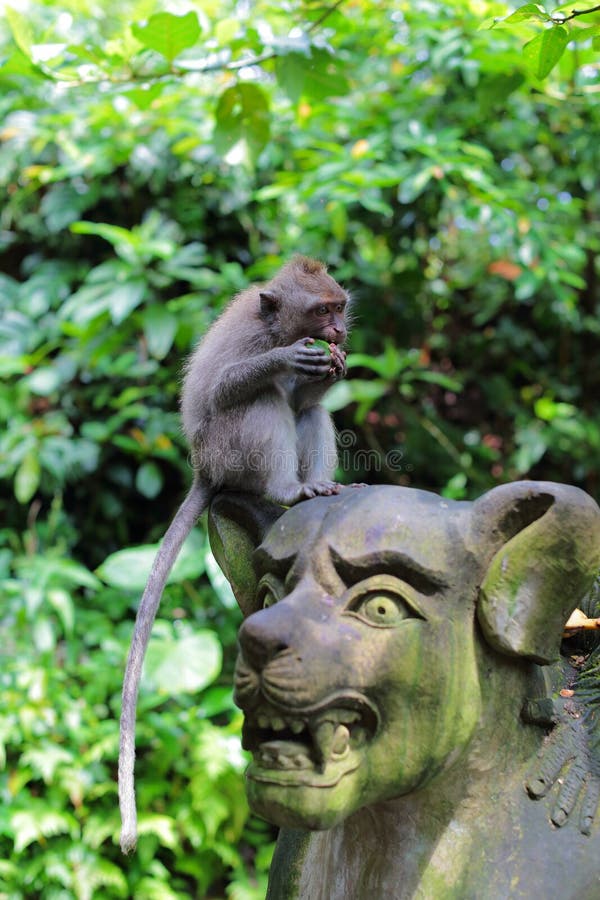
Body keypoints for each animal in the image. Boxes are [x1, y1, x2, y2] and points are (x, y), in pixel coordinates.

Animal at [119, 256, 351, 853]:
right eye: (322, 309)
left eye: (340, 307)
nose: (339, 331)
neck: (278, 328)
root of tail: (204, 469)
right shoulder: (249, 338)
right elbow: (227, 389)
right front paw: (284, 362)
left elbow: (308, 402)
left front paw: (332, 369)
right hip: (227, 455)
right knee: (260, 401)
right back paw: (286, 491)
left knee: (306, 415)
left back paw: (317, 488)